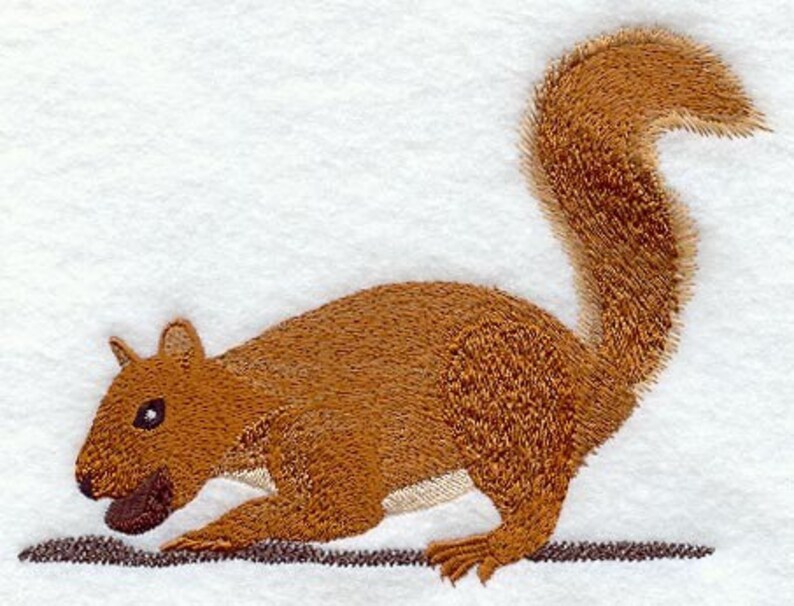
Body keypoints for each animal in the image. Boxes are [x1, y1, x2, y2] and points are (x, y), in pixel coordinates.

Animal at [75, 28, 762, 583]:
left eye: (151, 414)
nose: (81, 480)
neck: (254, 399)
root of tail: (595, 377)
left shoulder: (322, 439)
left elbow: (341, 512)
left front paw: (217, 529)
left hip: (497, 402)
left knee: (537, 506)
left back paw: (489, 545)